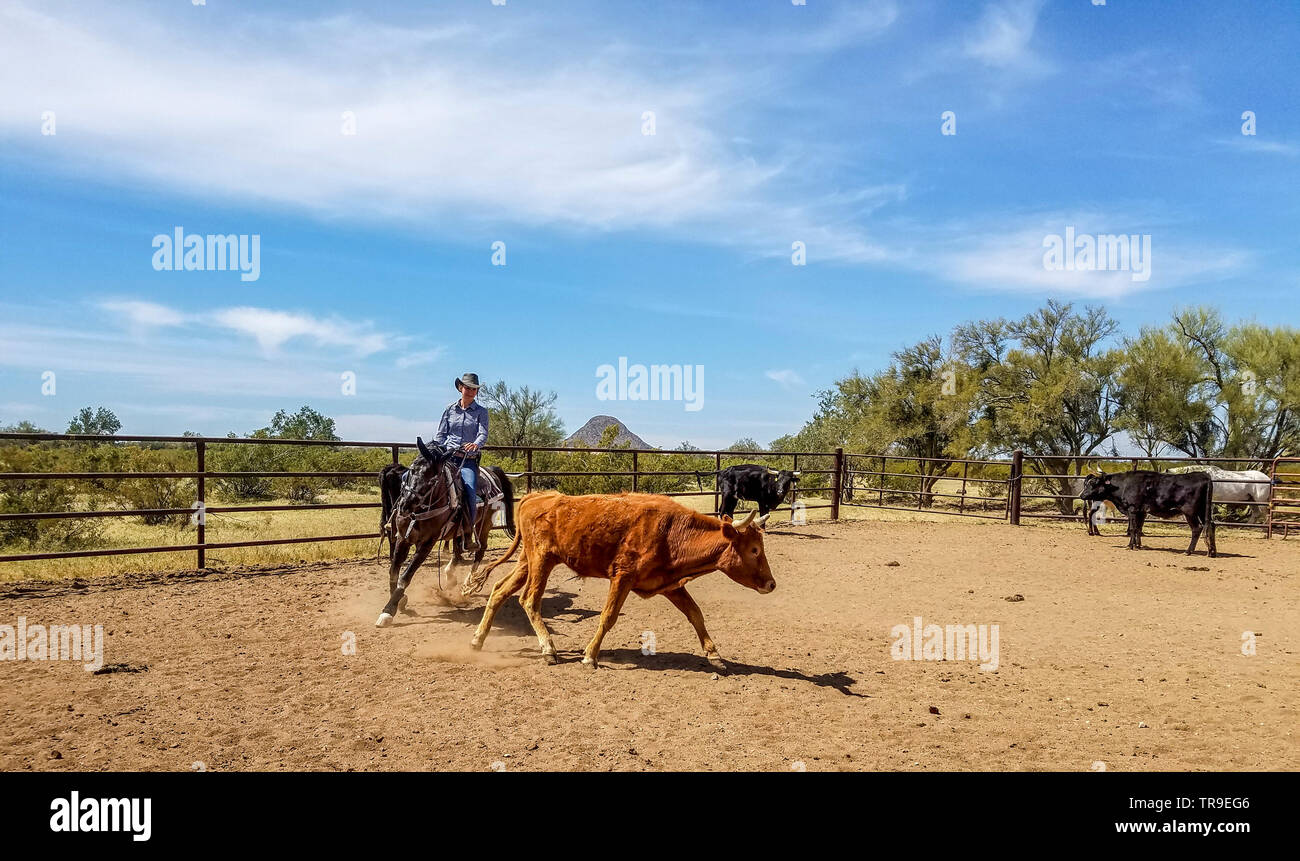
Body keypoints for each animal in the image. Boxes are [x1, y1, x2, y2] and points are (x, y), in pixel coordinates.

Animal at [375, 438, 515, 627]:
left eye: (433, 480)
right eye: (411, 471)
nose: (404, 506)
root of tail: (492, 472)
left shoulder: (427, 543)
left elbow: (405, 576)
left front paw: (388, 612)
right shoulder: (403, 538)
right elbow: (393, 572)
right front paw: (400, 601)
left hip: (485, 524)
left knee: (480, 550)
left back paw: (468, 585)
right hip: (462, 528)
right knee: (459, 548)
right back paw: (450, 576)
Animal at [464, 492, 776, 670]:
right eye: (754, 550)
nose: (772, 584)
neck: (672, 533)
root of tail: (535, 497)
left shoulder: (670, 585)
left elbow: (696, 615)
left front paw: (714, 655)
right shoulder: (622, 577)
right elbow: (608, 616)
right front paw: (590, 655)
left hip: (528, 562)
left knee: (499, 591)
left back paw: (478, 640)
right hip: (542, 560)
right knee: (529, 600)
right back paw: (548, 649)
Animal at [1077, 470, 1216, 557]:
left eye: (1093, 483)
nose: (1081, 495)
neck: (1123, 485)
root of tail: (1203, 475)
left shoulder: (1132, 509)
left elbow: (1133, 528)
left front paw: (1130, 546)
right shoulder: (1141, 512)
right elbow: (1138, 528)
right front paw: (1138, 545)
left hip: (1190, 512)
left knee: (1197, 528)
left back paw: (1188, 551)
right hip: (1203, 510)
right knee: (1211, 525)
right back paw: (1211, 551)